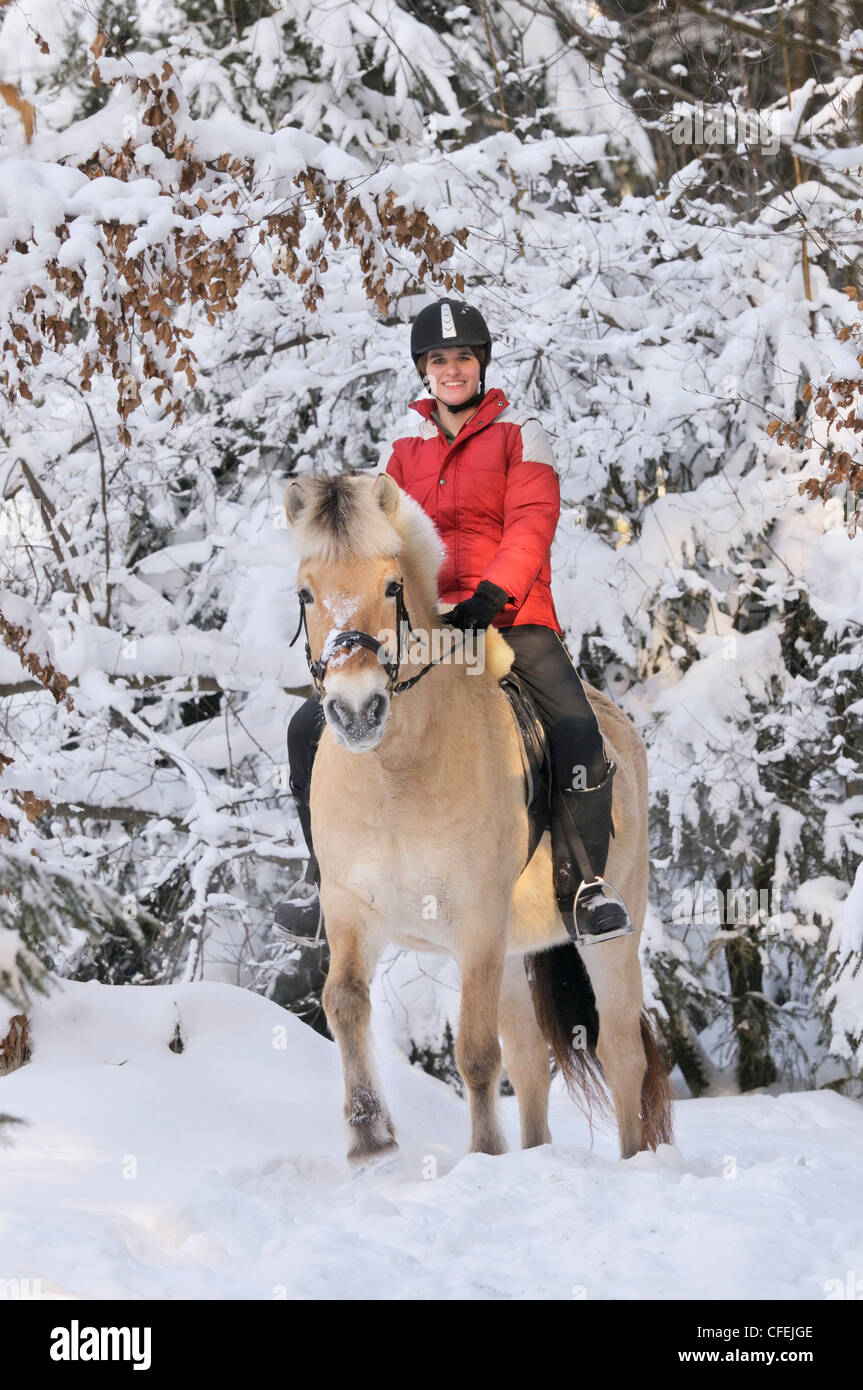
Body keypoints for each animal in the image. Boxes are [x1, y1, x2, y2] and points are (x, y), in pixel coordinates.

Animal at [282, 470, 673, 1164]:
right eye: (306, 592)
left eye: (391, 586)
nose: (357, 711)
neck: (396, 778)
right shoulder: (354, 909)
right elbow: (345, 1003)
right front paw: (369, 1136)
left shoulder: (477, 923)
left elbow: (475, 1053)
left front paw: (484, 1153)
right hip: (514, 951)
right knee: (529, 1056)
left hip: (608, 935)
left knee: (621, 1054)